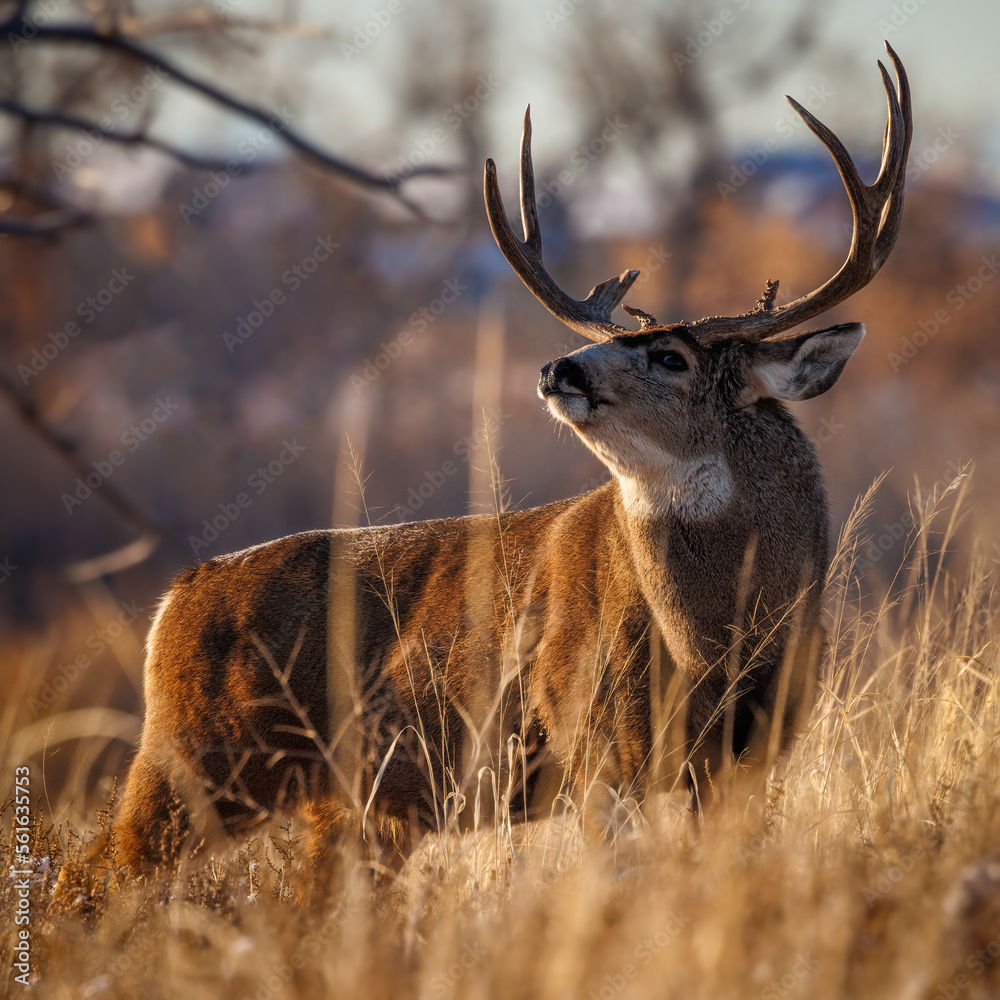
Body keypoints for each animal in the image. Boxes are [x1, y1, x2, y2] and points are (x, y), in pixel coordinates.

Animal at [63, 44, 910, 897]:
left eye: (672, 357)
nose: (559, 367)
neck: (721, 647)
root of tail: (174, 598)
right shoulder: (595, 744)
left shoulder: (751, 758)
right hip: (197, 760)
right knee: (89, 876)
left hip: (339, 805)